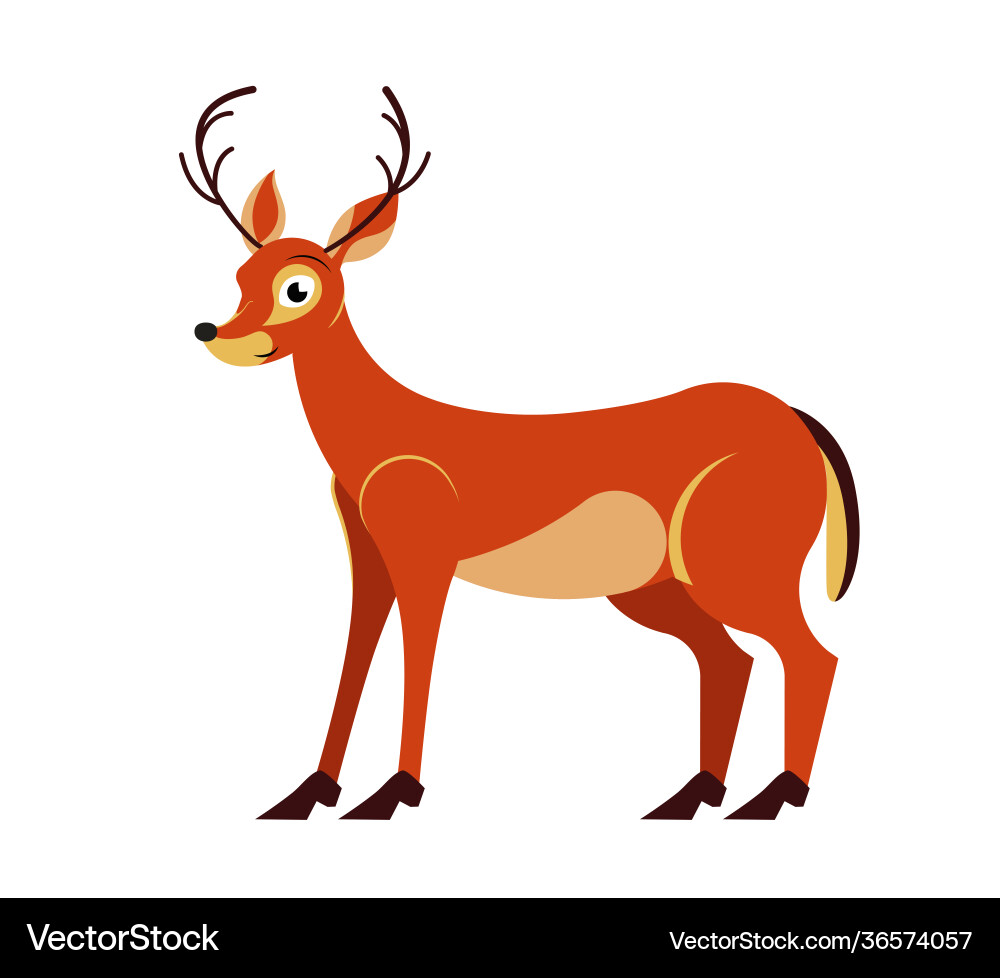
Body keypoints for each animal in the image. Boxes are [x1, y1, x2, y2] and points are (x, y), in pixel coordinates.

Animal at [181, 86, 859, 821]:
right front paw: (308, 793)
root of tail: (798, 422)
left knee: (812, 656)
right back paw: (691, 797)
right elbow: (354, 656)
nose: (212, 332)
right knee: (732, 660)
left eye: (298, 287)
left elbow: (419, 653)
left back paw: (775, 796)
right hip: (656, 588)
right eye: (242, 271)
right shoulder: (371, 557)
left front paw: (394, 792)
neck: (381, 434)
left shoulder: (427, 556)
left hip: (734, 568)